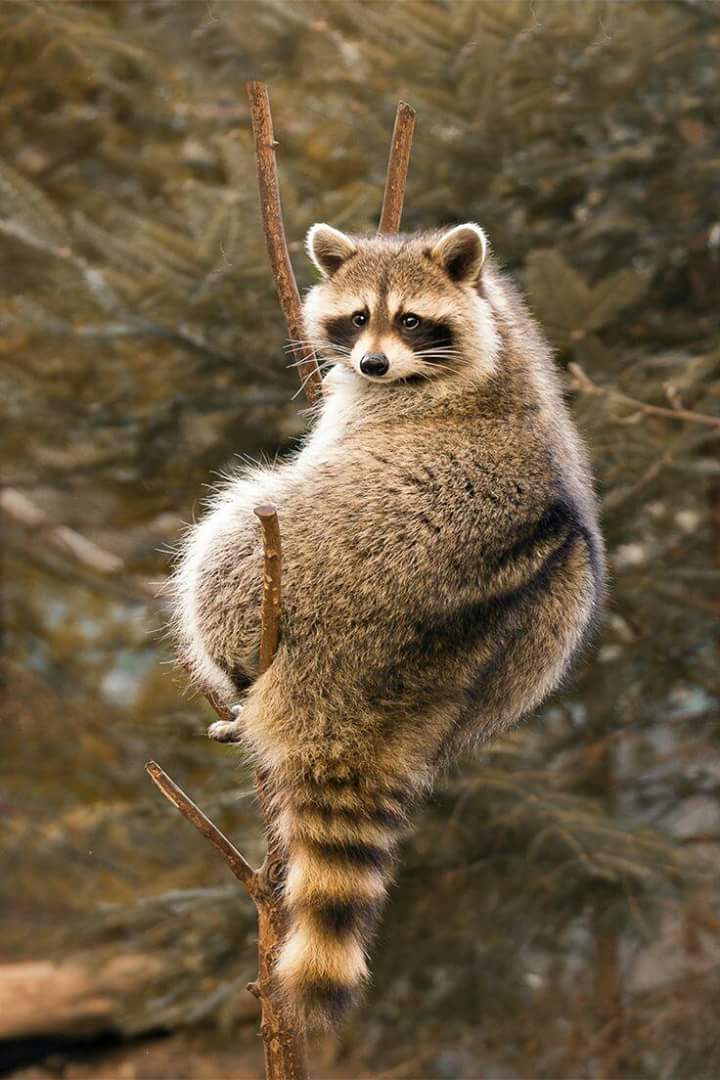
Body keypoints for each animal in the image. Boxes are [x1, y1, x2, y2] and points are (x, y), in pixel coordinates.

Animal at [171, 223, 605, 1028]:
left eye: (410, 319)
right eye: (356, 317)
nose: (371, 363)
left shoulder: (378, 416)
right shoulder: (518, 322)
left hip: (318, 566)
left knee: (228, 539)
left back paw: (240, 685)